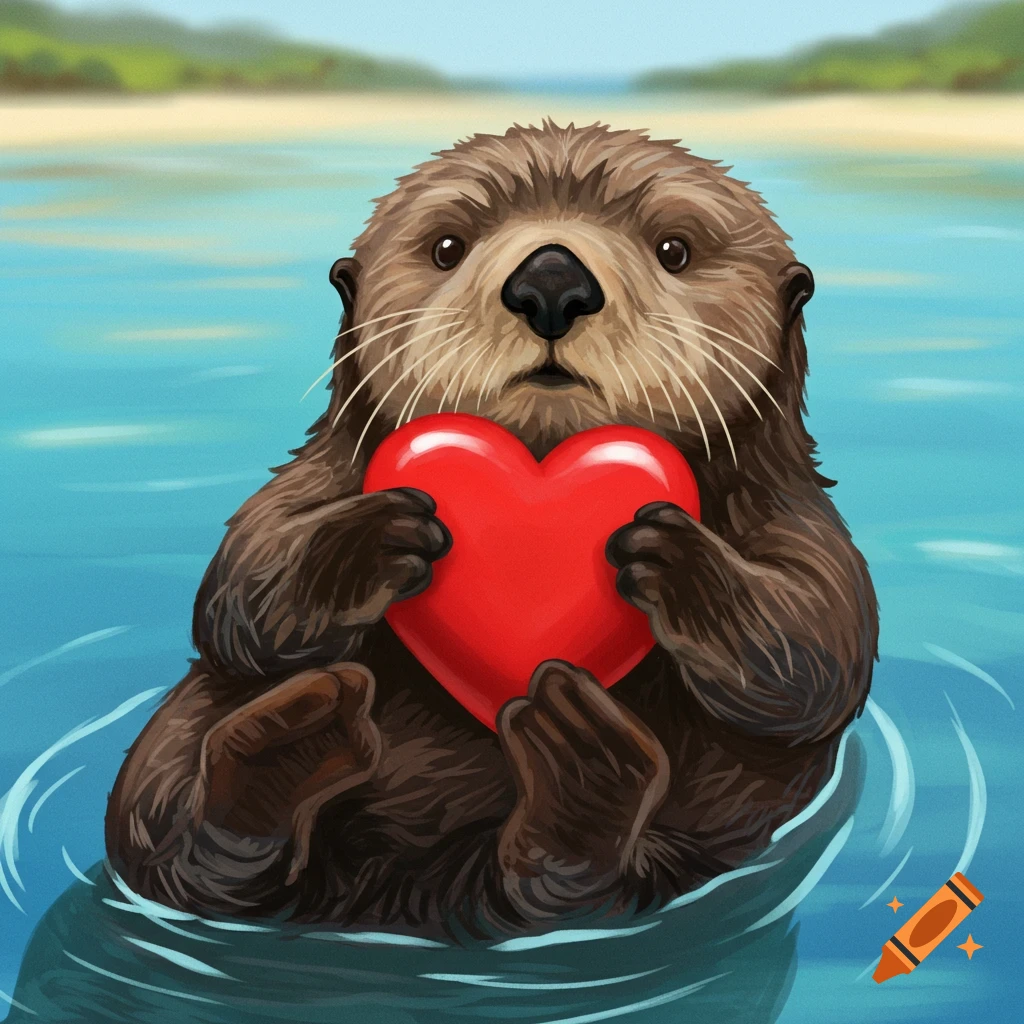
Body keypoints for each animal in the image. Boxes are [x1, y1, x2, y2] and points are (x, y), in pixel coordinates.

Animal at [105, 121, 877, 940]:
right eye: (448, 247)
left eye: (674, 249)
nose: (552, 281)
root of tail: (411, 896)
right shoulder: (316, 474)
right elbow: (241, 588)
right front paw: (376, 536)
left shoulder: (797, 514)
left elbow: (817, 649)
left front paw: (669, 555)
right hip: (168, 757)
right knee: (180, 845)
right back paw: (295, 741)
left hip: (696, 844)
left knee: (589, 888)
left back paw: (579, 764)